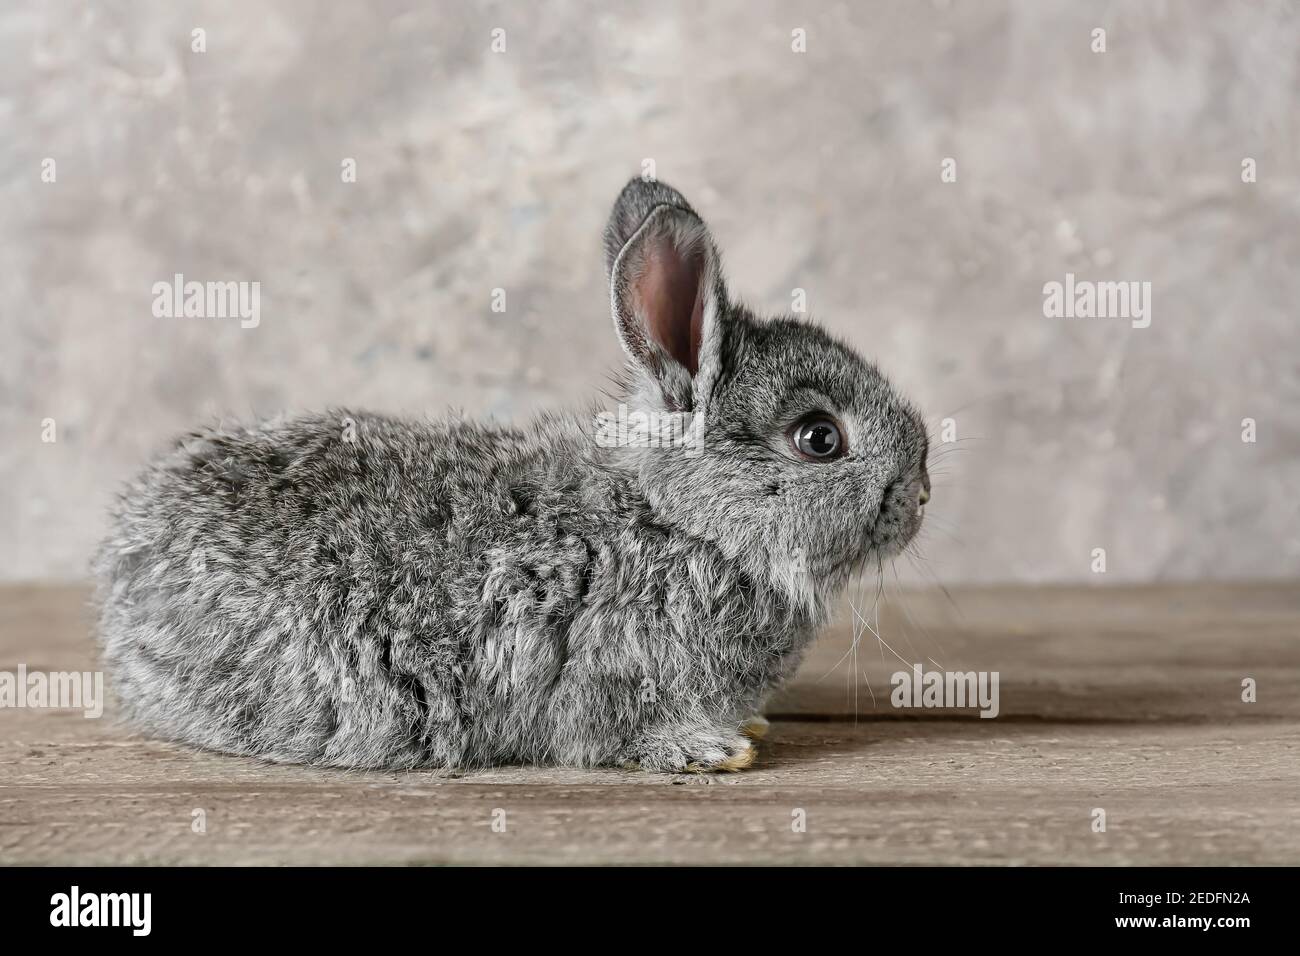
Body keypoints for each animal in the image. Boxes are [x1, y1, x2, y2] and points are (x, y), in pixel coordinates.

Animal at [94, 178, 931, 772]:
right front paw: (709, 749)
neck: (683, 521)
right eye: (819, 438)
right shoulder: (609, 675)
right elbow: (613, 734)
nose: (921, 493)